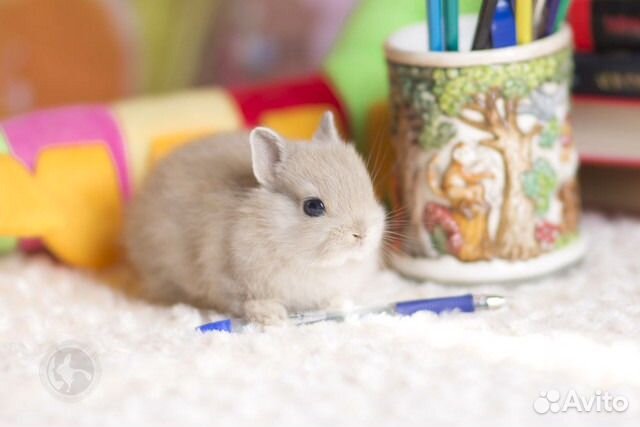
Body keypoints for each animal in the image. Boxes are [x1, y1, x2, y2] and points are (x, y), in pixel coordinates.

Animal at [124, 112, 386, 324]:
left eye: (368, 188)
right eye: (313, 206)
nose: (362, 234)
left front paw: (339, 304)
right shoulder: (226, 279)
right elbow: (245, 303)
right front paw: (272, 316)